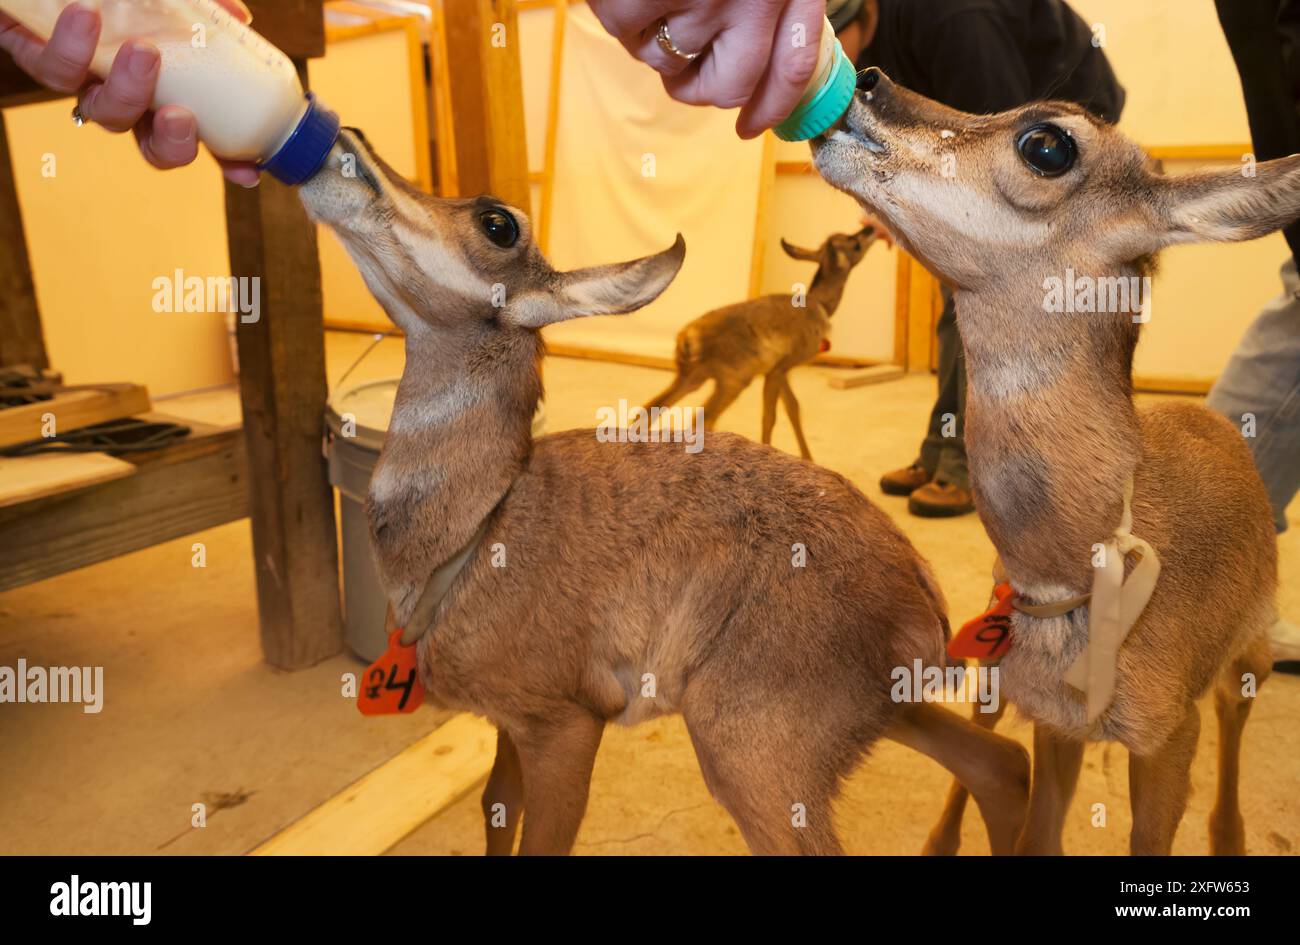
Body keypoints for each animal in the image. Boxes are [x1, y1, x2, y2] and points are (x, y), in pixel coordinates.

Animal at [645, 227, 879, 460]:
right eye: (854, 242)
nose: (870, 228)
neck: (819, 304)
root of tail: (689, 334)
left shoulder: (778, 371)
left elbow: (793, 409)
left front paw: (808, 458)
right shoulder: (779, 369)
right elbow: (771, 417)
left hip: (692, 378)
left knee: (653, 406)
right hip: (732, 382)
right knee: (701, 420)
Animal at [814, 69, 1285, 855]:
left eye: (1048, 144)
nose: (873, 81)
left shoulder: (1168, 736)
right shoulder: (1053, 722)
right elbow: (1037, 832)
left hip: (1248, 654)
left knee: (1235, 716)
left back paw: (1231, 836)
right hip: (991, 666)